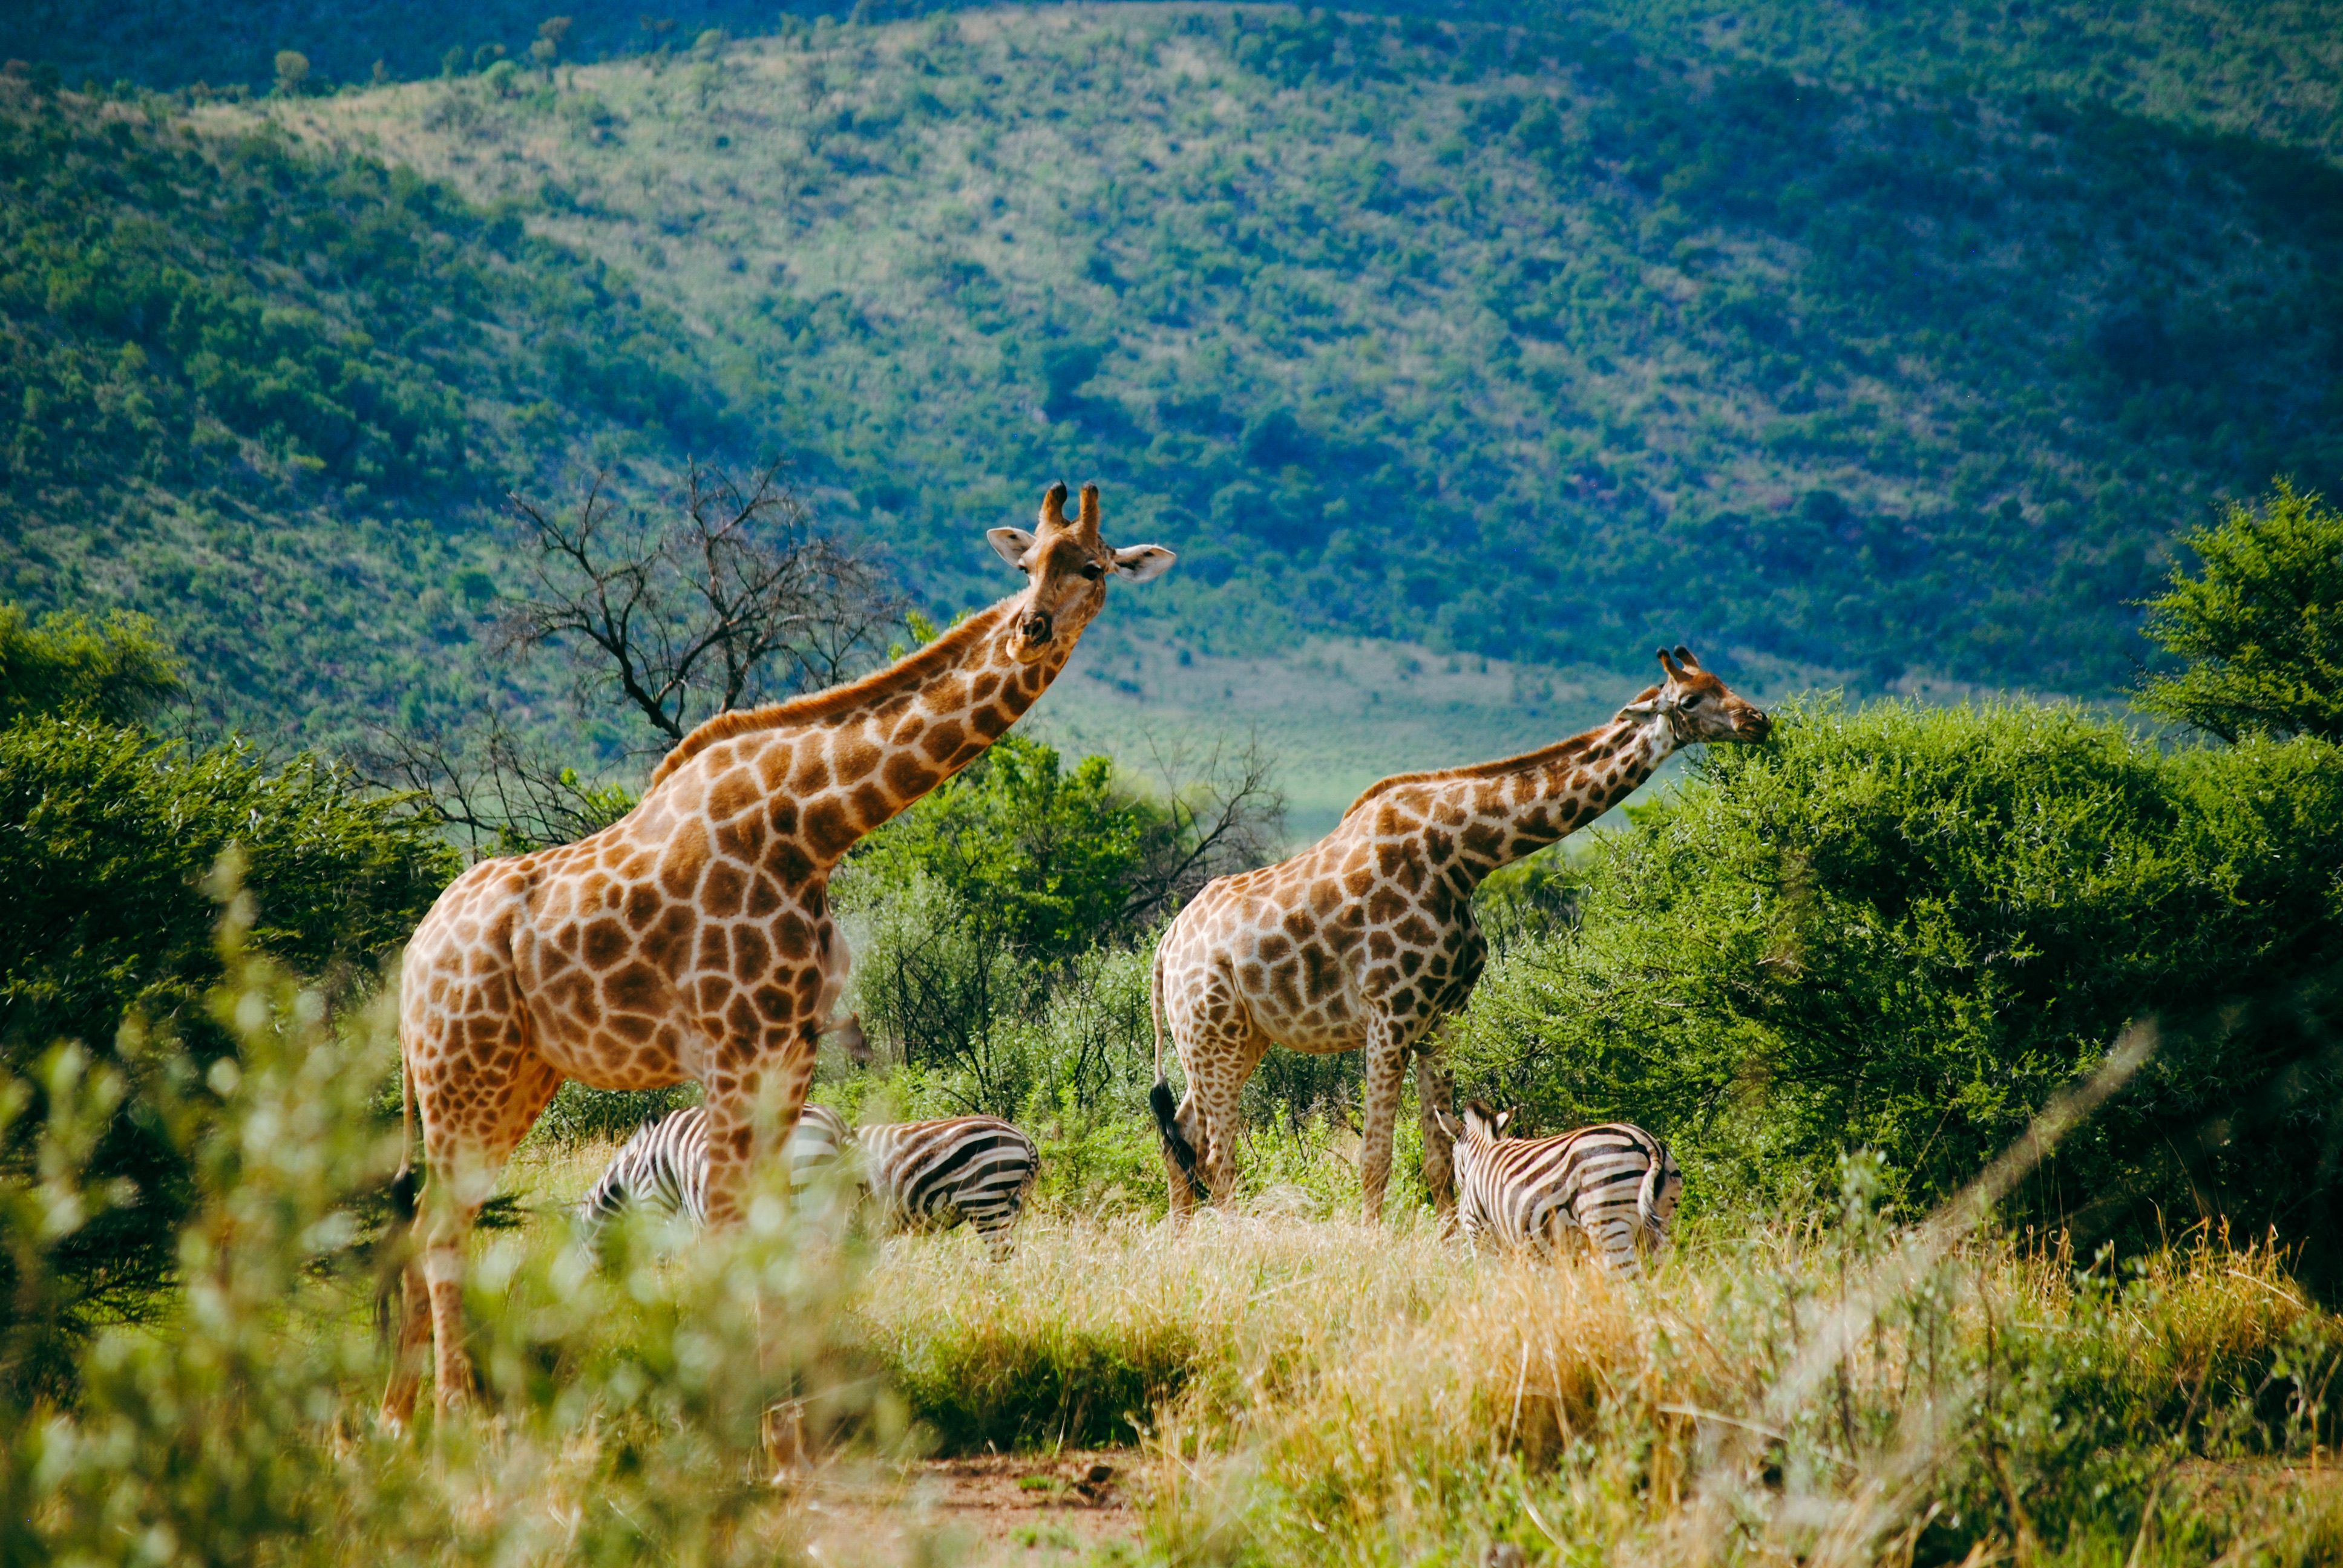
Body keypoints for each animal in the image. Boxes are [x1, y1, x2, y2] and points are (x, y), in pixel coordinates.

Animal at [1149, 646, 1769, 1223]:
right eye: (1690, 700)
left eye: (1723, 682)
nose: (1757, 721)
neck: (1463, 857)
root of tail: (1165, 946)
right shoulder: (1390, 1016)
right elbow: (1375, 1159)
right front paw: (1371, 1244)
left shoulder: (1444, 1018)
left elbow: (1437, 1157)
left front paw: (1452, 1245)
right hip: (1214, 1034)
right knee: (1217, 1156)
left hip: (1234, 1039)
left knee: (1182, 1137)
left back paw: (1184, 1242)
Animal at [1440, 1100, 1681, 1277]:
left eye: (1453, 1155)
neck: (1480, 1156)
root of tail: (1649, 1143)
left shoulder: (1481, 1235)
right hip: (1653, 1229)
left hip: (1608, 1221)